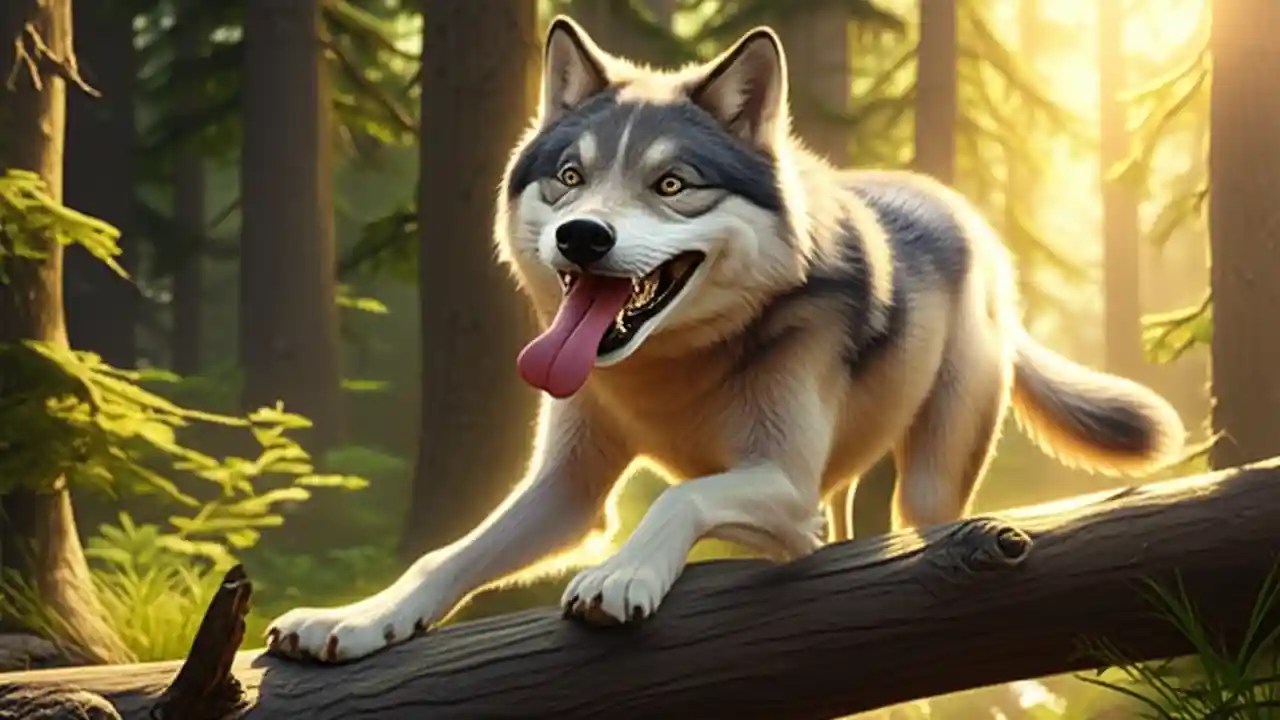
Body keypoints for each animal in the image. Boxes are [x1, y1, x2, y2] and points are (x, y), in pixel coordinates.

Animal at [267, 16, 1185, 663]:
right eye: (570, 178)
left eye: (673, 185)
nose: (581, 237)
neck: (670, 366)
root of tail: (963, 210)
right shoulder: (568, 492)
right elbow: (444, 558)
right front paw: (359, 619)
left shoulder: (785, 493)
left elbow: (681, 497)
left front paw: (623, 575)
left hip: (930, 479)